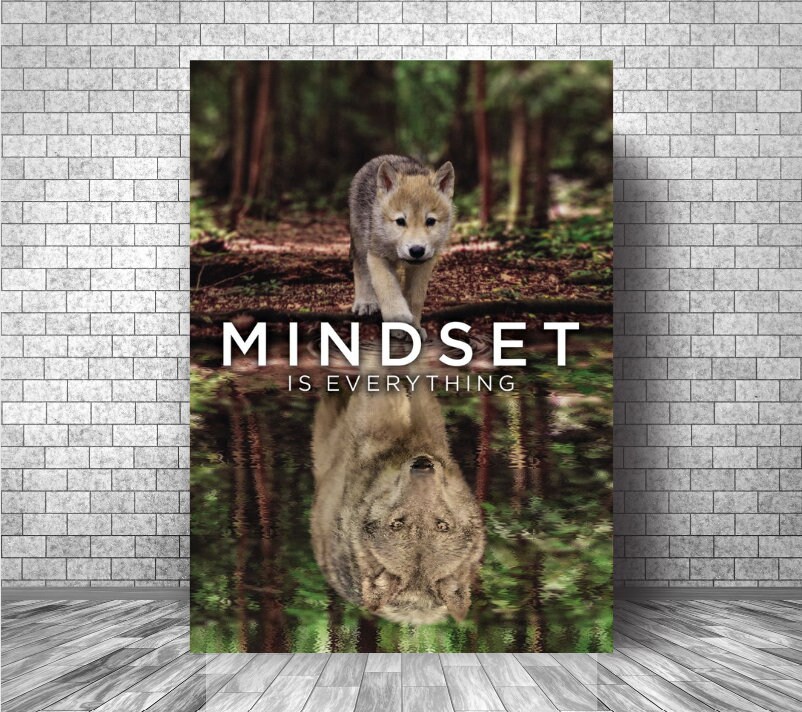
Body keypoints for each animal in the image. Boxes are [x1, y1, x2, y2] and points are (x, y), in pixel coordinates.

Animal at [349, 155, 456, 337]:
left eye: (430, 221)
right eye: (400, 221)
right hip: (361, 243)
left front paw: (414, 328)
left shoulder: (425, 264)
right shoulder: (376, 256)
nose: (417, 250)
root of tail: (382, 157)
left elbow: (415, 298)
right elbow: (388, 287)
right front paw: (398, 318)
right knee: (361, 269)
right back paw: (366, 302)